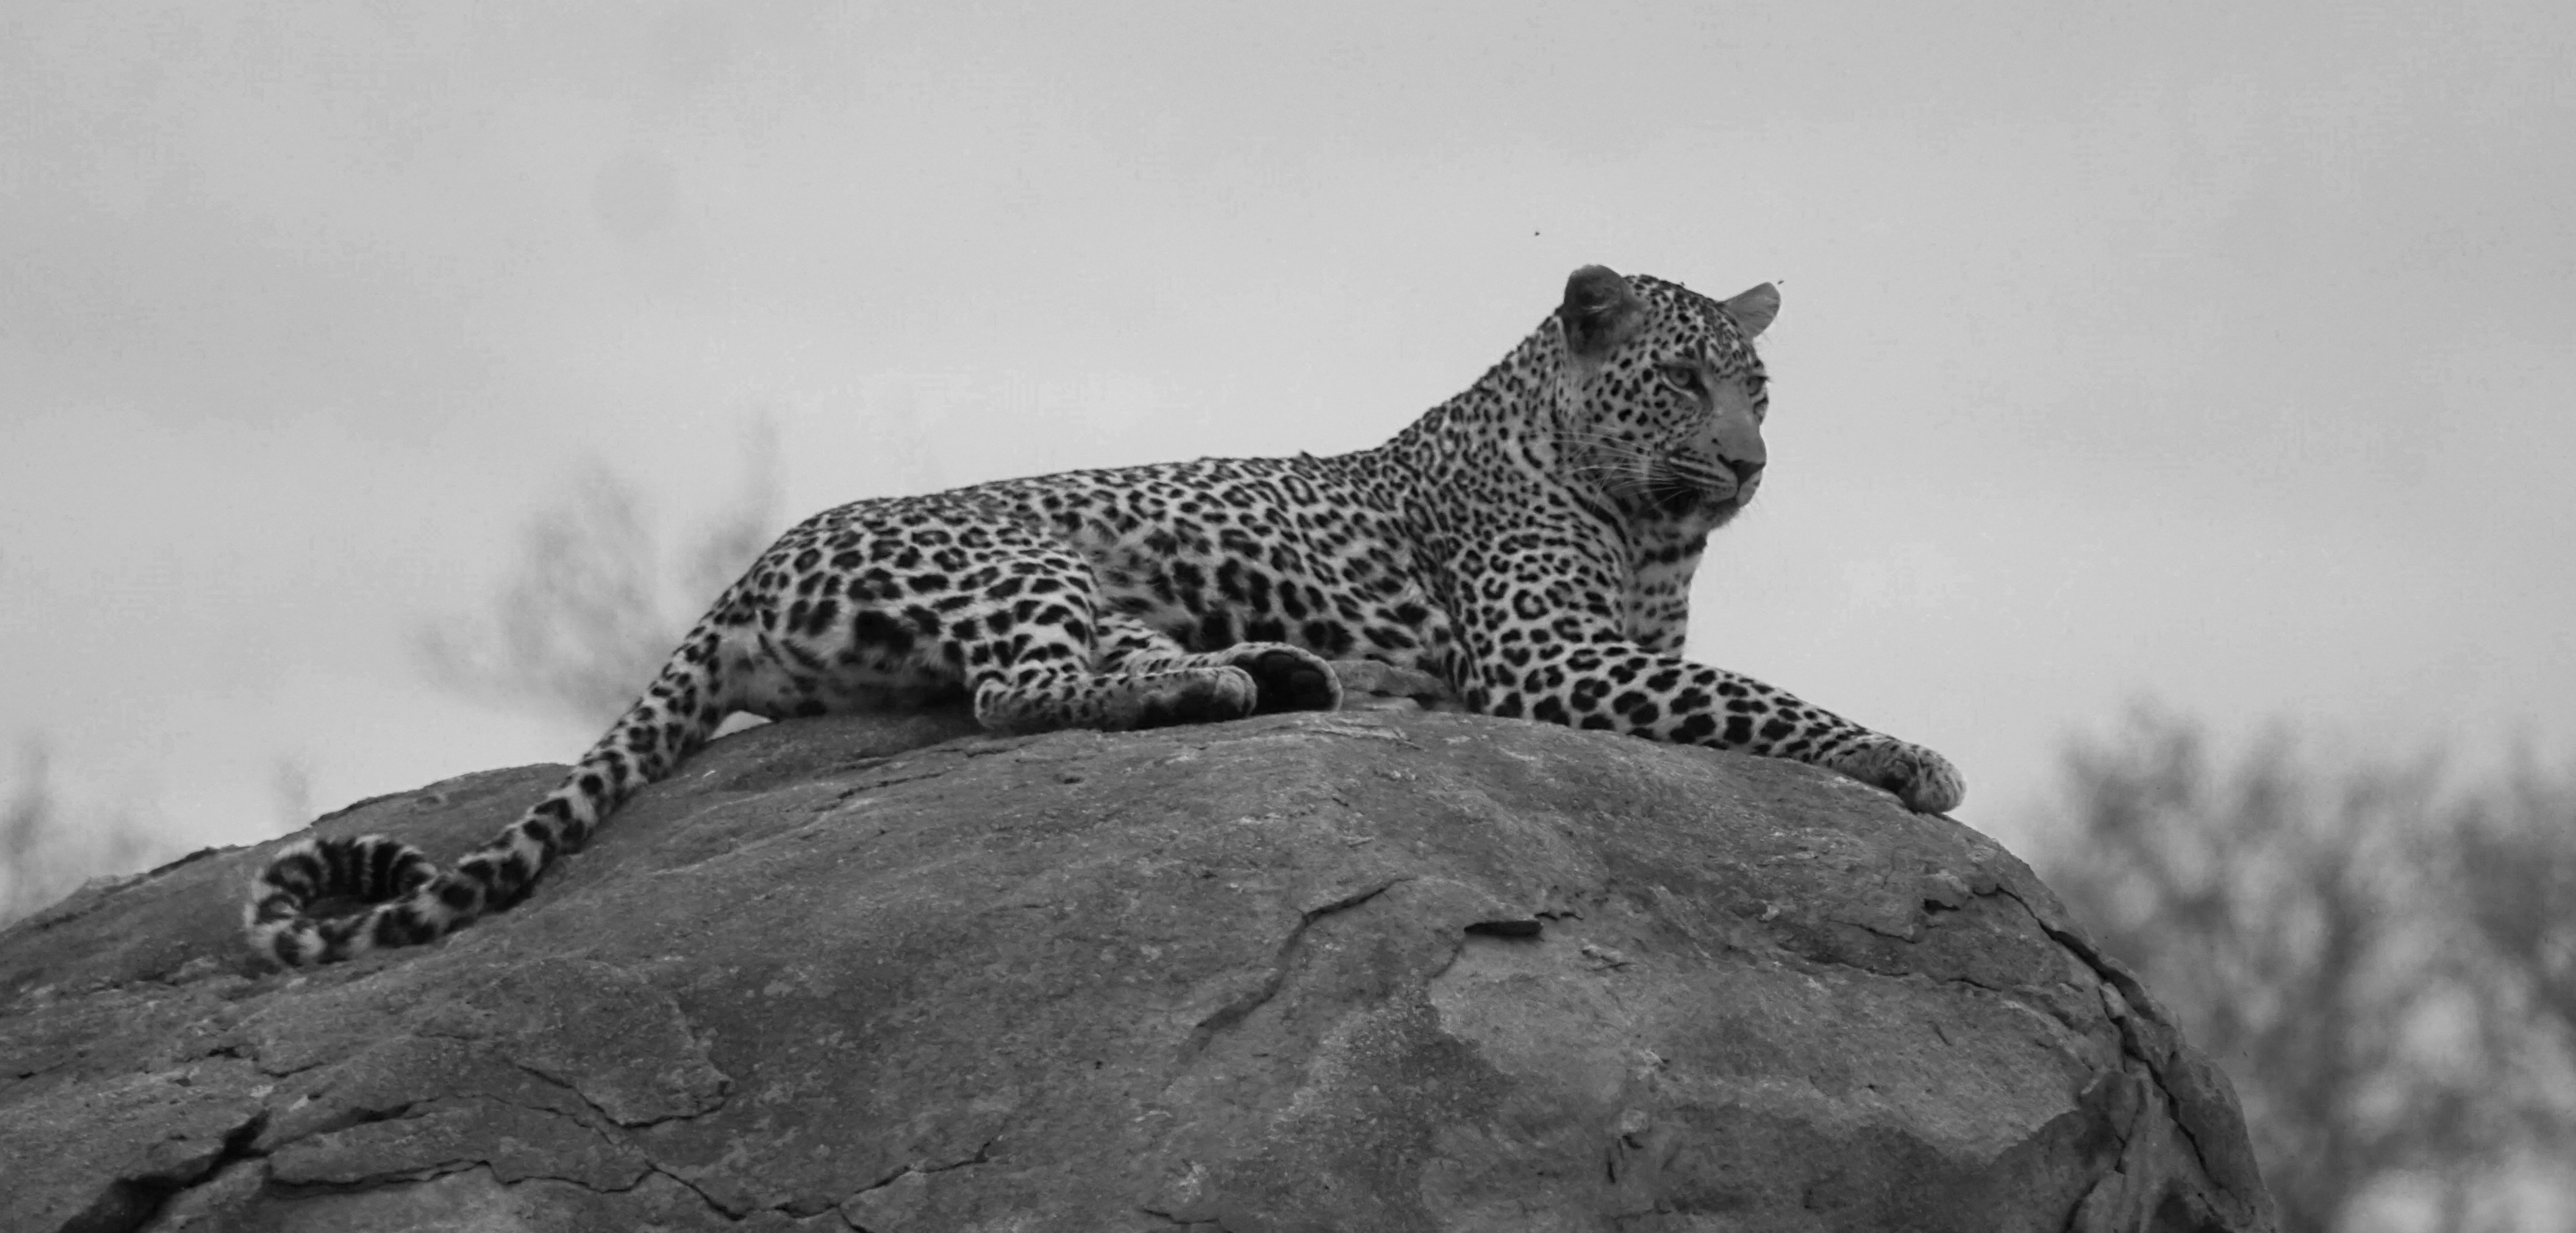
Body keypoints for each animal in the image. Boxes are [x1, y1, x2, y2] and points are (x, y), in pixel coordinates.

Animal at [246, 264, 1965, 967]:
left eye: (1758, 391)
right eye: (1681, 383)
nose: (1750, 464)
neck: (1646, 525)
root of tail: (742, 567)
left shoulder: (1620, 649)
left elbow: (1732, 681)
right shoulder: (1561, 660)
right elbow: (1757, 697)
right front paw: (1903, 758)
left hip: (1092, 594)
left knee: (1093, 679)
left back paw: (1270, 676)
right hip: (1024, 556)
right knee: (1015, 700)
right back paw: (1250, 688)